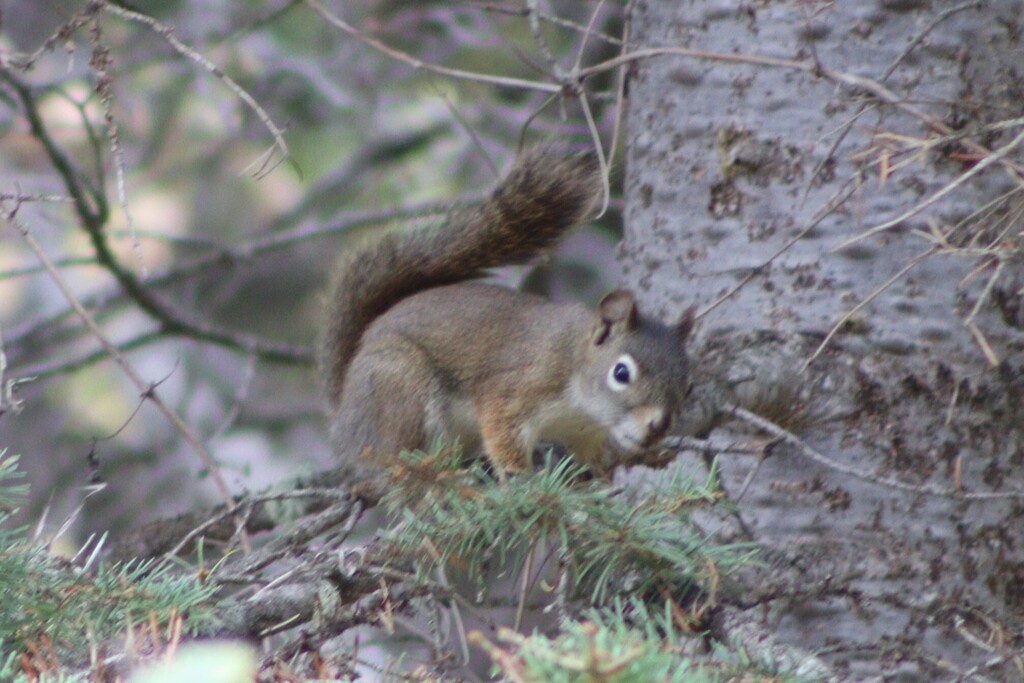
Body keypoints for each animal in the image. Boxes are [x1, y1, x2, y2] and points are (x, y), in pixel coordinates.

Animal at [321, 147, 695, 482]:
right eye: (621, 373)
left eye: (687, 384)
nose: (658, 426)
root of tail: (342, 414)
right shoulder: (514, 388)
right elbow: (502, 432)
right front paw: (521, 476)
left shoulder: (582, 431)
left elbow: (591, 456)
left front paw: (603, 474)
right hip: (399, 384)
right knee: (397, 464)